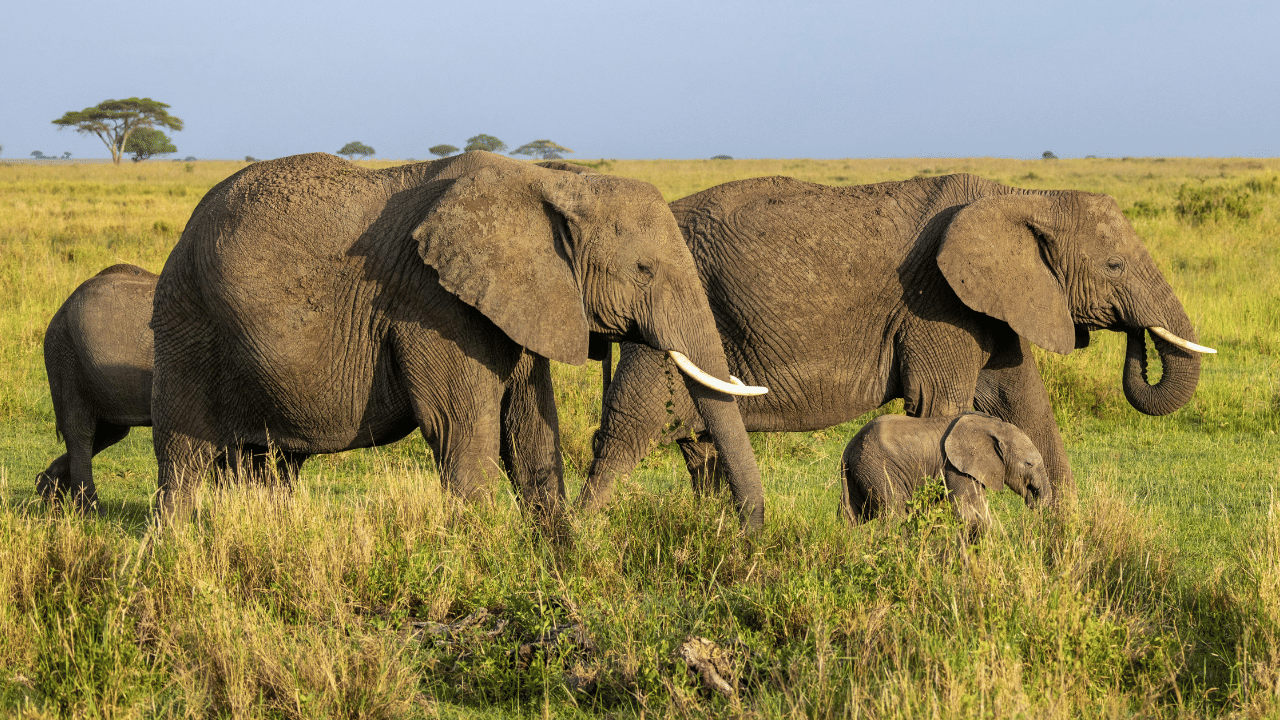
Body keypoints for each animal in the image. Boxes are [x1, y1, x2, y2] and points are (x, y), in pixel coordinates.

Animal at [149, 151, 769, 529]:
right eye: (642, 270)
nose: (746, 538)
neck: (551, 181)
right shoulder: (435, 304)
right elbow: (461, 429)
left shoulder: (520, 300)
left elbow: (531, 432)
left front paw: (559, 567)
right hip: (186, 320)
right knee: (182, 457)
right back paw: (174, 550)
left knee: (270, 466)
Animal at [579, 173, 1214, 513]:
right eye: (1114, 266)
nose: (1136, 341)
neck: (1022, 196)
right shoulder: (937, 302)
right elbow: (942, 409)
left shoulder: (991, 306)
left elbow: (1025, 403)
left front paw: (1068, 549)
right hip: (660, 315)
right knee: (629, 429)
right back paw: (582, 545)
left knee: (699, 446)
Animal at [839, 412, 1049, 535]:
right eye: (1028, 464)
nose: (1034, 504)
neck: (992, 425)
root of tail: (849, 449)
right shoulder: (956, 467)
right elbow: (969, 511)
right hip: (879, 470)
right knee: (897, 513)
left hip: (858, 473)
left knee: (851, 516)